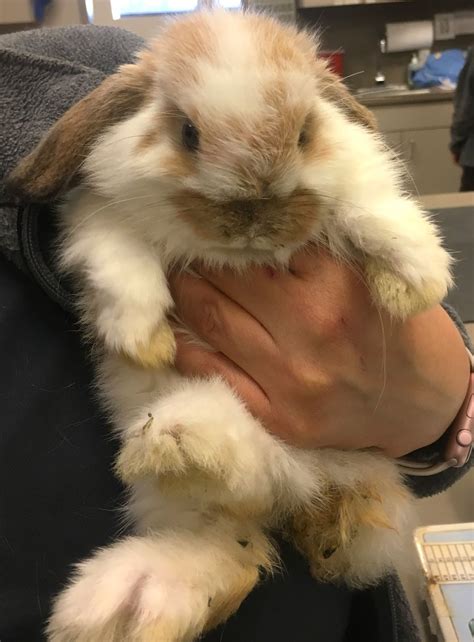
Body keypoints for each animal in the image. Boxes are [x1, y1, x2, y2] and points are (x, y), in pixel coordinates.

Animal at [7, 10, 452, 642]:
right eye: (188, 133)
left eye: (305, 132)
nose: (252, 215)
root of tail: (312, 494)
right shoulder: (96, 218)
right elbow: (120, 261)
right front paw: (144, 340)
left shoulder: (359, 180)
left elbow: (372, 211)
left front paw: (418, 282)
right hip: (195, 498)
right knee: (233, 540)